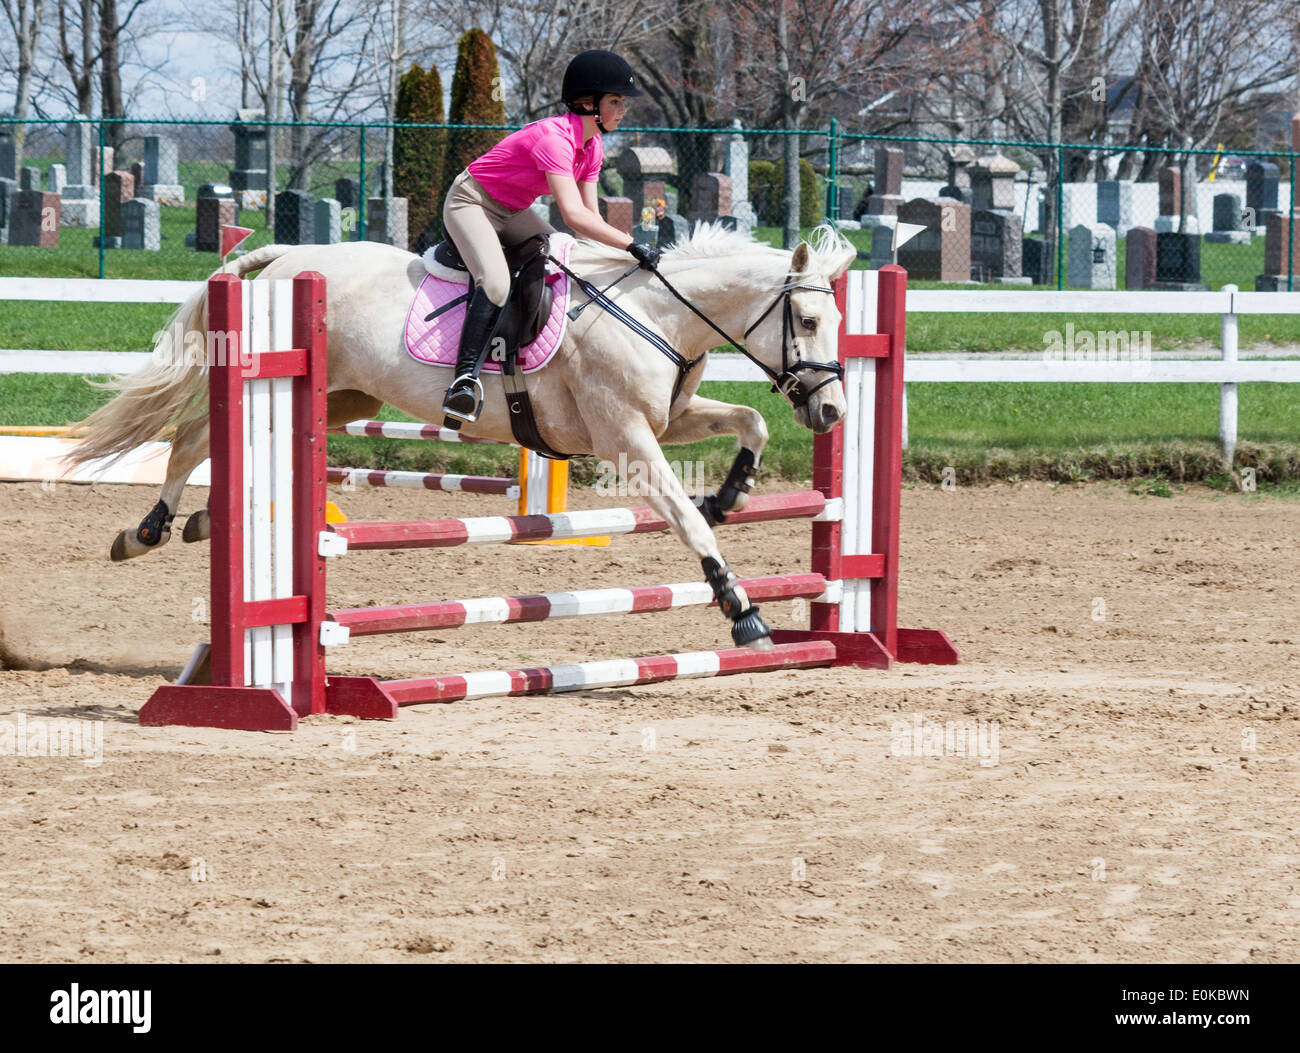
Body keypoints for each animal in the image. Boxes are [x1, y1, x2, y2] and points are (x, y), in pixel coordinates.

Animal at [67, 222, 857, 650]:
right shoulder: (628, 439)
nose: (831, 414)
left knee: (226, 441)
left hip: (343, 395)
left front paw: (732, 491)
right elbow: (687, 522)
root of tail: (288, 258)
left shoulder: (667, 420)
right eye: (809, 321)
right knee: (192, 437)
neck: (657, 314)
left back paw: (200, 520)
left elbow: (751, 423)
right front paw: (742, 609)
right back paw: (148, 528)